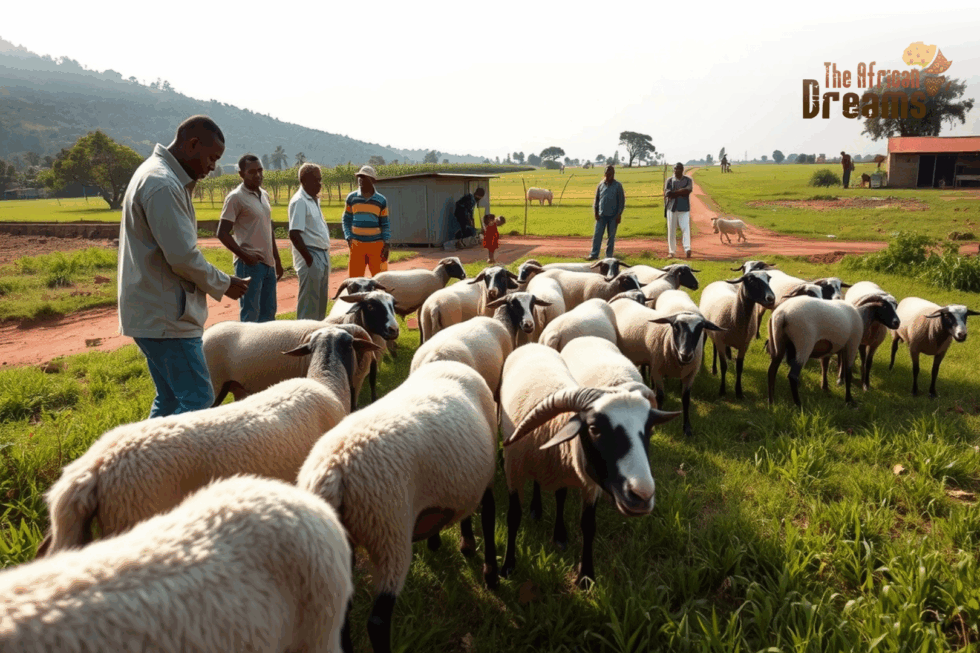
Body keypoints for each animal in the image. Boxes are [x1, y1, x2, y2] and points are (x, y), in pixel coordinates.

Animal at [204, 291, 398, 406]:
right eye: (371, 305)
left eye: (392, 306)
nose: (394, 330)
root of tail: (206, 334)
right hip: (215, 385)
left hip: (237, 386)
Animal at [298, 361, 499, 653]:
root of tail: (332, 469)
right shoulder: (485, 481)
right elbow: (488, 519)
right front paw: (490, 574)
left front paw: (447, 542)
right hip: (388, 531)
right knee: (378, 621)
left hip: (342, 543)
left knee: (343, 615)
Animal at [499, 344, 679, 586]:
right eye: (594, 428)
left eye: (649, 428)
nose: (642, 496)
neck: (554, 424)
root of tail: (533, 344)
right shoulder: (513, 472)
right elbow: (513, 517)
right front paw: (508, 565)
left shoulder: (591, 484)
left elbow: (588, 525)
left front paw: (585, 576)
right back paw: (536, 509)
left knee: (560, 495)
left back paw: (559, 533)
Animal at [613, 291, 723, 437]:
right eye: (676, 327)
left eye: (700, 328)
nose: (685, 354)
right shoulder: (657, 370)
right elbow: (660, 396)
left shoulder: (690, 374)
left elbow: (686, 399)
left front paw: (687, 428)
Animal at [767, 295, 900, 406]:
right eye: (884, 306)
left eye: (896, 306)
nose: (897, 323)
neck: (862, 316)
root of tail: (782, 314)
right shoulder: (852, 344)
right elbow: (848, 372)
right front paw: (849, 400)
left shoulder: (829, 349)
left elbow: (825, 366)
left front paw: (825, 387)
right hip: (804, 344)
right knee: (793, 376)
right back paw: (799, 404)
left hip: (778, 343)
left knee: (772, 370)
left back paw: (771, 401)